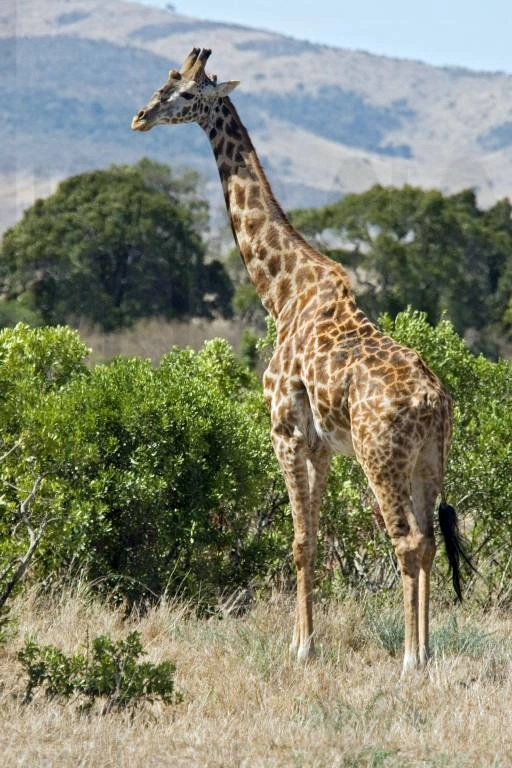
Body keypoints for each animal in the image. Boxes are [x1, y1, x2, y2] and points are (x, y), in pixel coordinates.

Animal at [132, 48, 467, 674]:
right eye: (163, 84)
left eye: (184, 93)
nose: (140, 117)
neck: (281, 292)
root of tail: (434, 400)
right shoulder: (321, 444)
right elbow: (310, 538)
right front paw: (305, 641)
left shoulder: (283, 430)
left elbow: (298, 540)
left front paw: (301, 646)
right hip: (429, 460)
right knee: (431, 539)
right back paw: (429, 651)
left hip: (380, 457)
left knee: (406, 540)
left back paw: (410, 660)